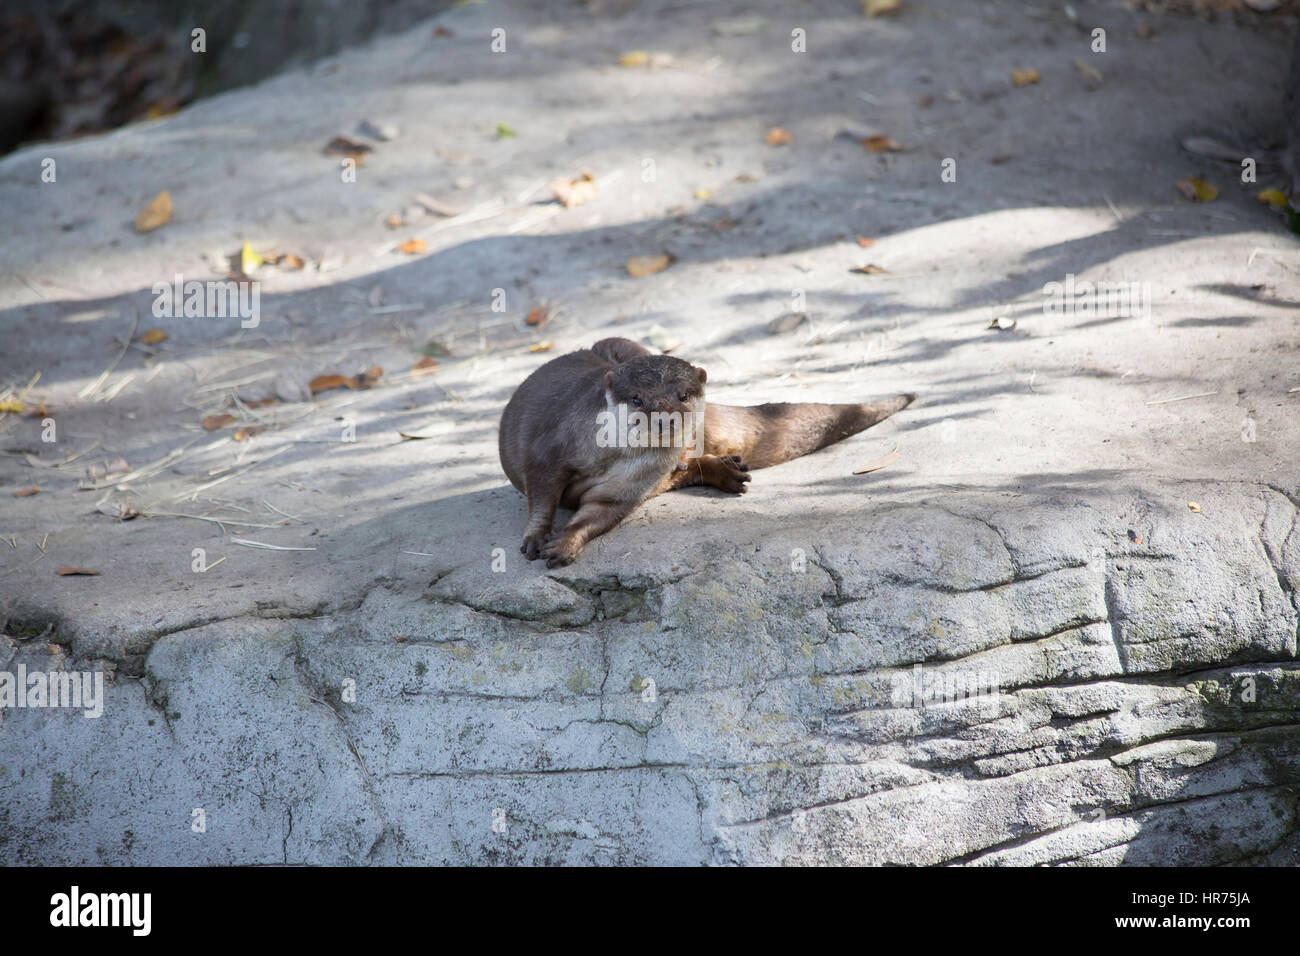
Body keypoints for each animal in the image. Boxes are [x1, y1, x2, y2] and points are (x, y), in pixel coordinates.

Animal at [498, 337, 914, 567]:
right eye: (637, 399)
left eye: (682, 395)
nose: (664, 414)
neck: (612, 458)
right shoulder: (550, 448)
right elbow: (542, 496)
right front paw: (536, 538)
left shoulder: (630, 486)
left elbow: (597, 514)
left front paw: (565, 542)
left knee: (681, 468)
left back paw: (726, 472)